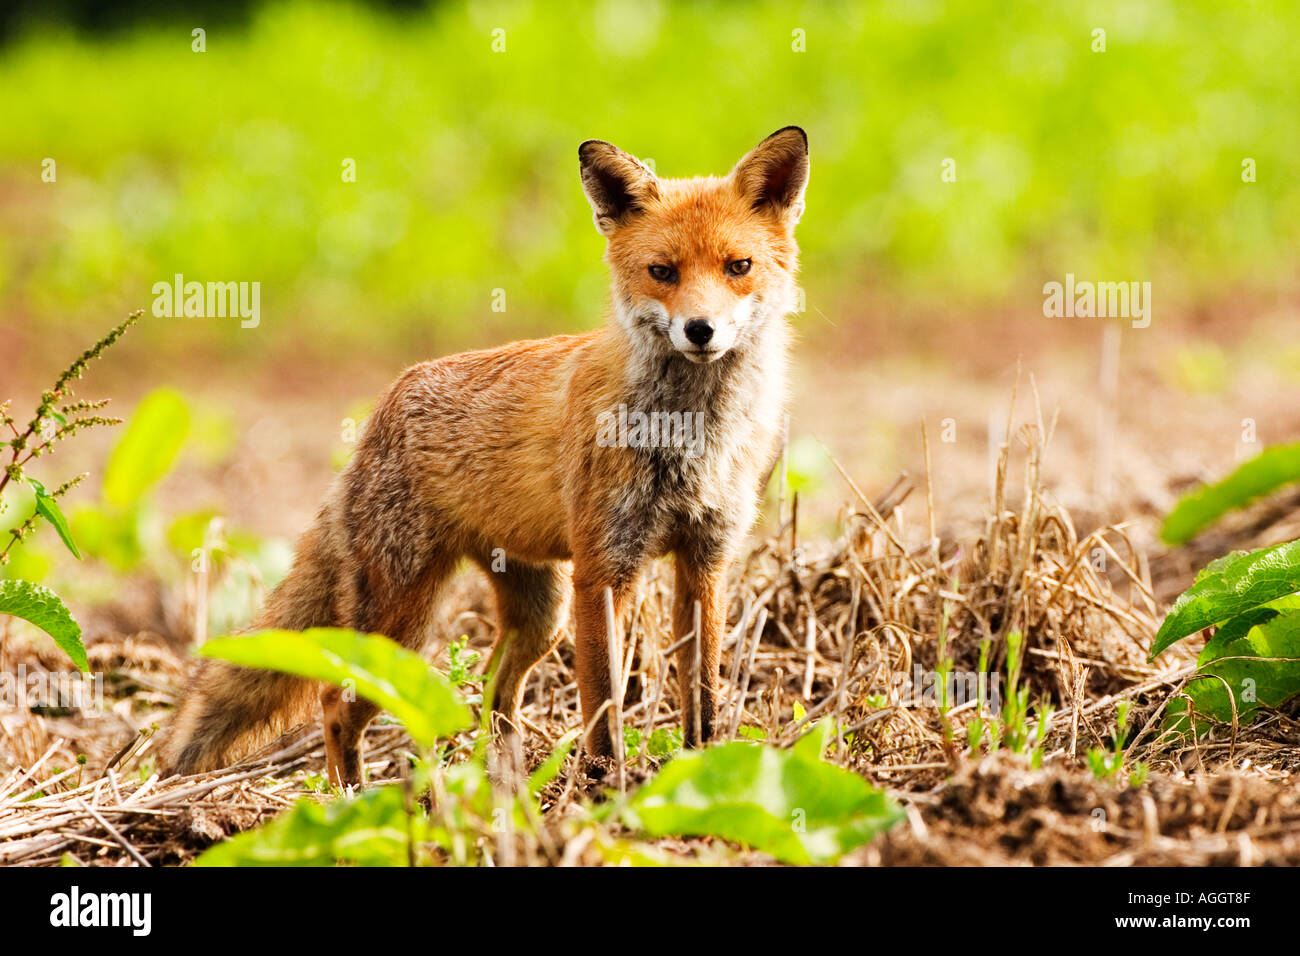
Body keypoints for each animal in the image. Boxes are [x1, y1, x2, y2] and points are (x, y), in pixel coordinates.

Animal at [161, 126, 810, 786]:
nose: (700, 330)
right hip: (405, 621)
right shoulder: (603, 570)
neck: (690, 433)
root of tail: (381, 411)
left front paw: (704, 772)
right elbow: (603, 706)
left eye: (738, 267)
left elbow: (703, 694)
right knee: (335, 702)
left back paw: (503, 782)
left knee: (491, 691)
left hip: (539, 614)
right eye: (662, 271)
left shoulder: (706, 560)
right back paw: (356, 799)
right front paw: (605, 787)